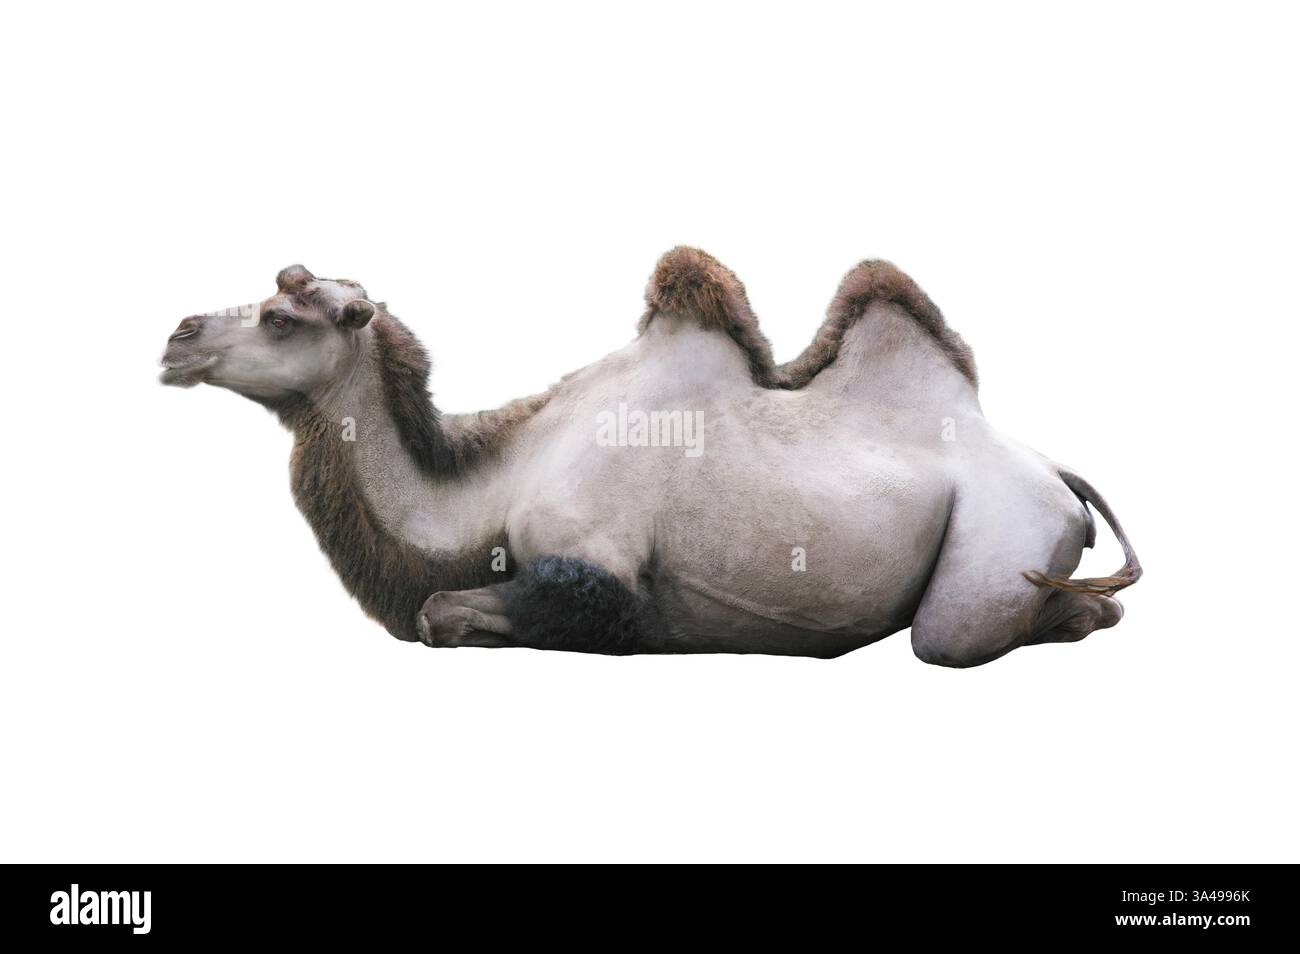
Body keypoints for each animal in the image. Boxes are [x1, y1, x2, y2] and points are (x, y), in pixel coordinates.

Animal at [159, 249, 1141, 666]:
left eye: (282, 318)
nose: (177, 335)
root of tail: (1053, 470)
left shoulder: (599, 571)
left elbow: (439, 614)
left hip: (1004, 534)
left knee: (957, 635)